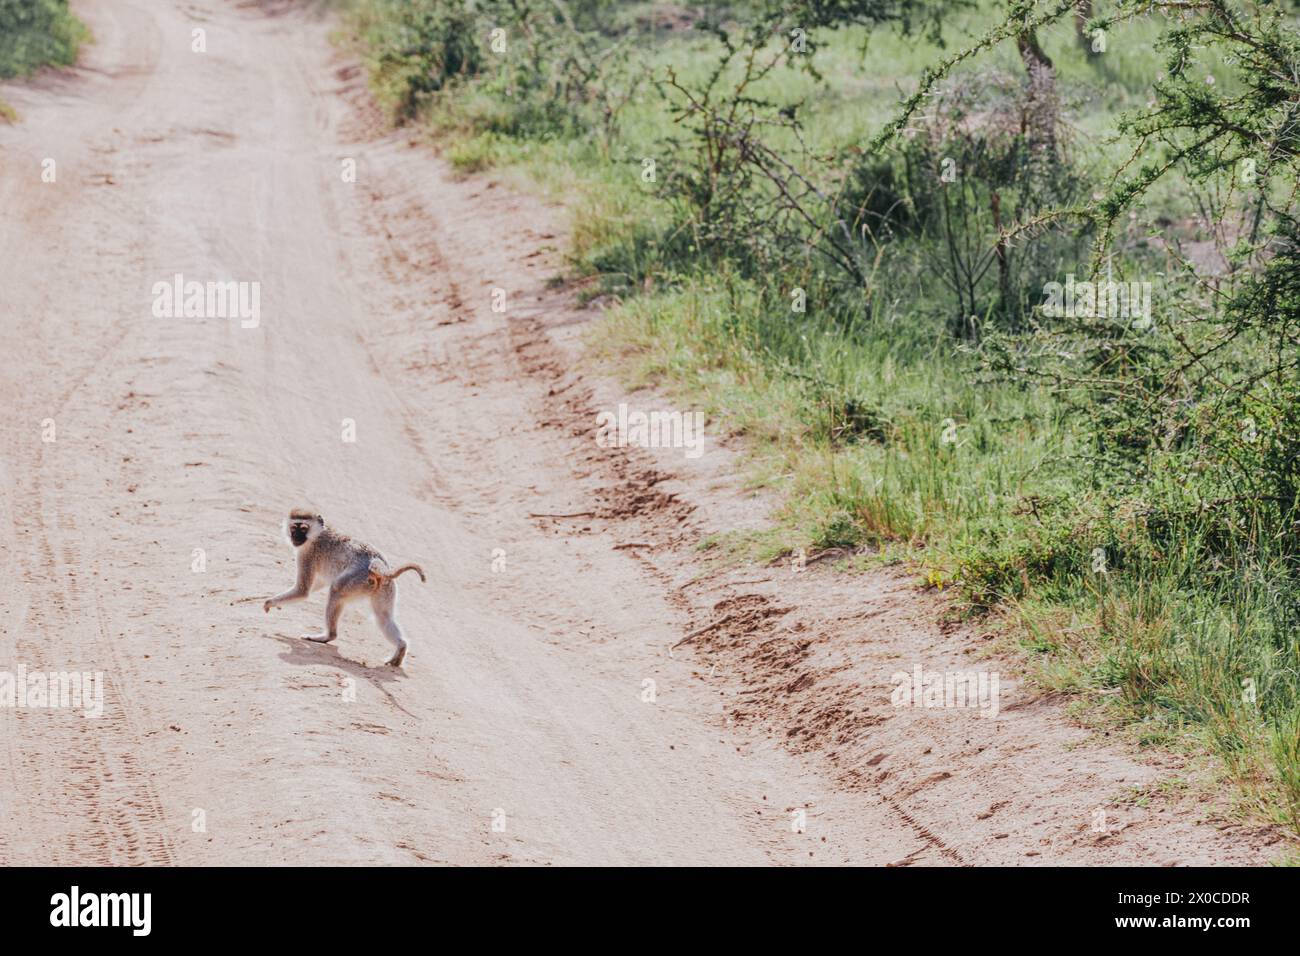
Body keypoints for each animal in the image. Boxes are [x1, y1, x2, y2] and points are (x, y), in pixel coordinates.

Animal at [263, 509, 425, 667]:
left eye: (303, 528)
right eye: (293, 528)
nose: (295, 536)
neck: (317, 534)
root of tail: (378, 564)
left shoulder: (308, 554)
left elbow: (303, 590)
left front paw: (270, 602)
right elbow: (316, 584)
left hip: (358, 580)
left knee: (336, 590)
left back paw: (328, 636)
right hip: (385, 587)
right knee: (383, 616)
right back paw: (401, 648)